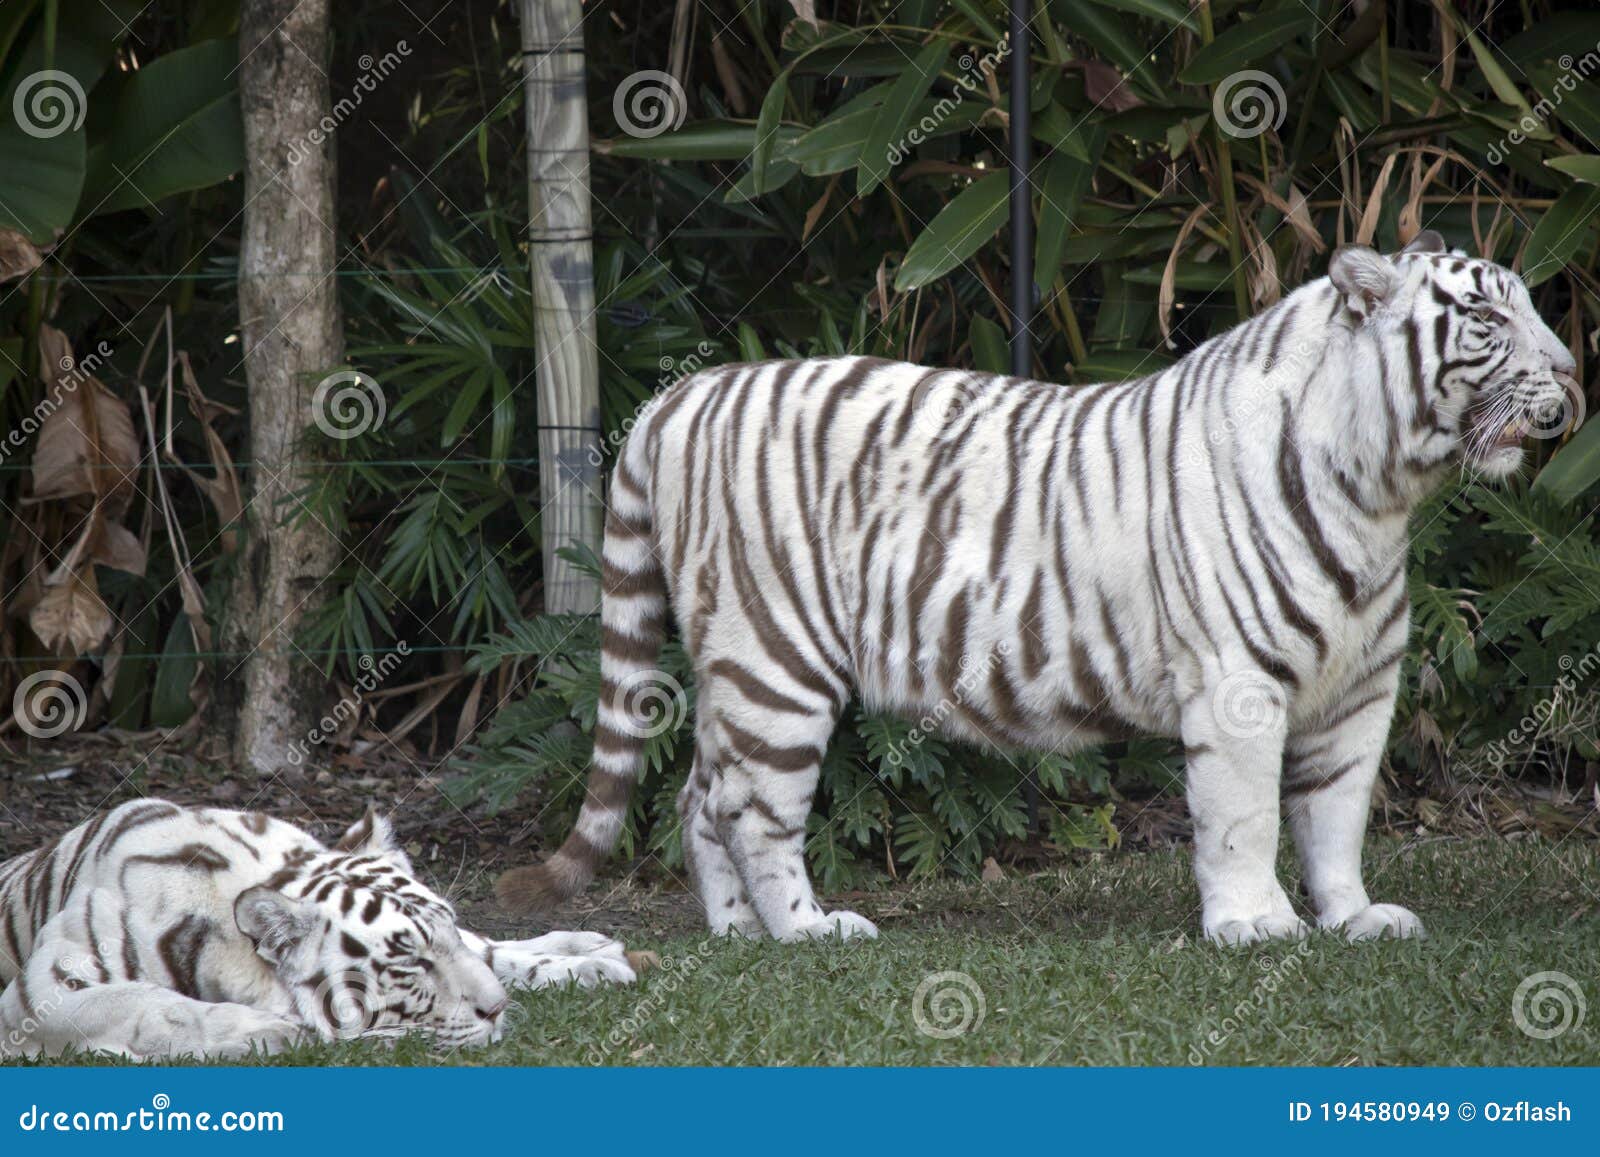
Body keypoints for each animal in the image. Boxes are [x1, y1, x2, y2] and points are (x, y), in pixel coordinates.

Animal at [0, 799, 640, 1059]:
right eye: (410, 963)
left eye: (448, 936)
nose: (498, 1010)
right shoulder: (40, 992)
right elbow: (154, 1004)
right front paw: (269, 1031)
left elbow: (486, 950)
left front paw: (585, 960)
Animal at [496, 231, 1577, 948]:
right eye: (1488, 318)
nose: (1573, 373)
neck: (1382, 494)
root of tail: (680, 394)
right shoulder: (1238, 685)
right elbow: (1246, 818)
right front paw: (1255, 927)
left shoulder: (1357, 692)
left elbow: (1336, 816)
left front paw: (1355, 918)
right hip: (775, 660)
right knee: (749, 806)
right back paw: (809, 929)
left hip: (737, 665)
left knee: (695, 792)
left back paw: (735, 932)